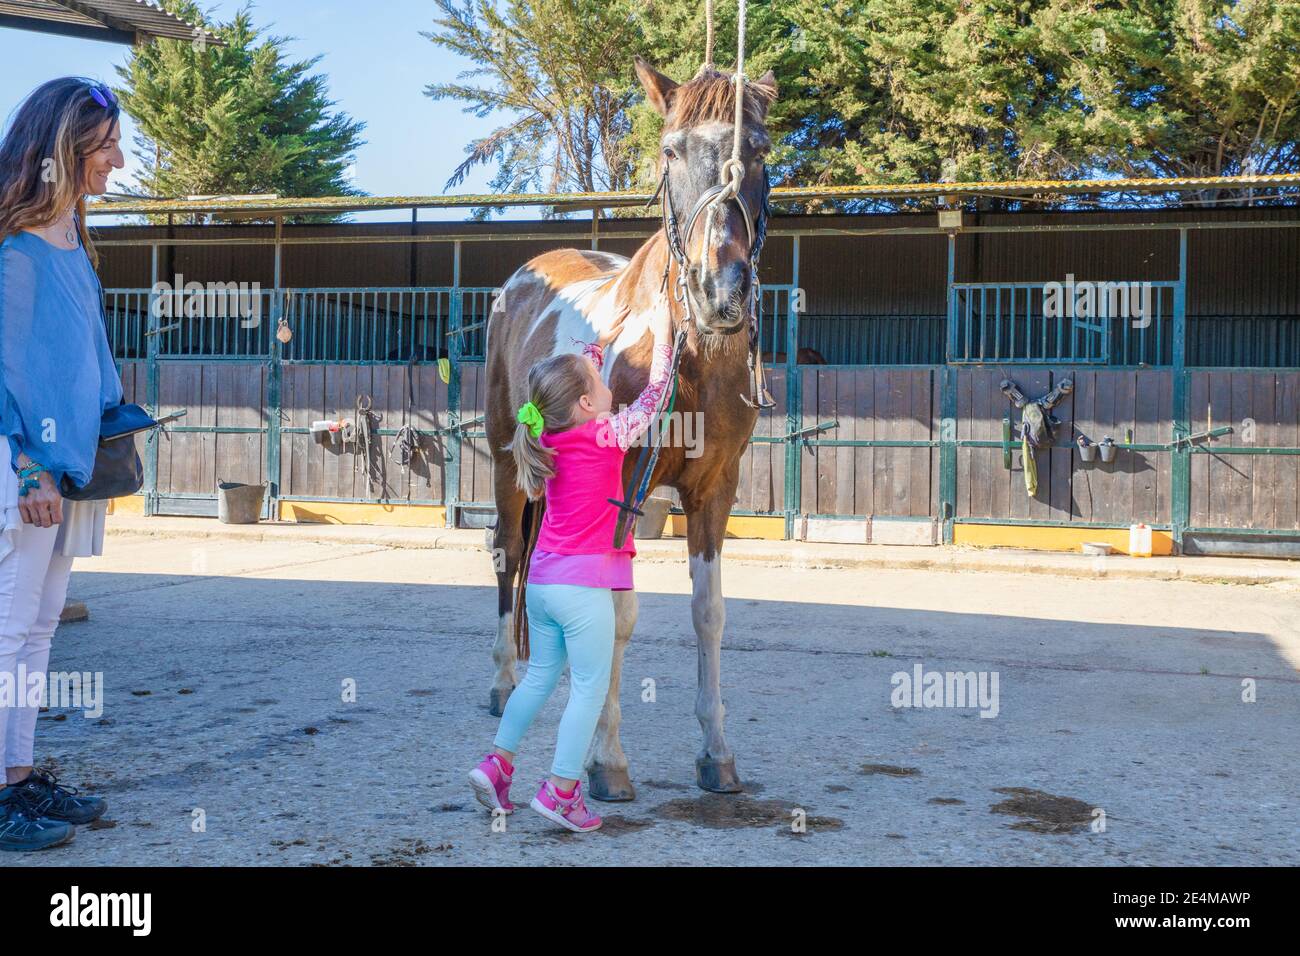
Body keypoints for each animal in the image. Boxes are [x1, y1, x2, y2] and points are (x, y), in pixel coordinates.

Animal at [484, 56, 777, 799]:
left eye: (759, 153)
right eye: (671, 151)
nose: (719, 291)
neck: (689, 353)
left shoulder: (714, 491)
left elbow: (709, 613)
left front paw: (716, 752)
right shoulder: (620, 489)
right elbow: (617, 615)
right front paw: (606, 760)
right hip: (506, 463)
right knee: (510, 553)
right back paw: (504, 682)